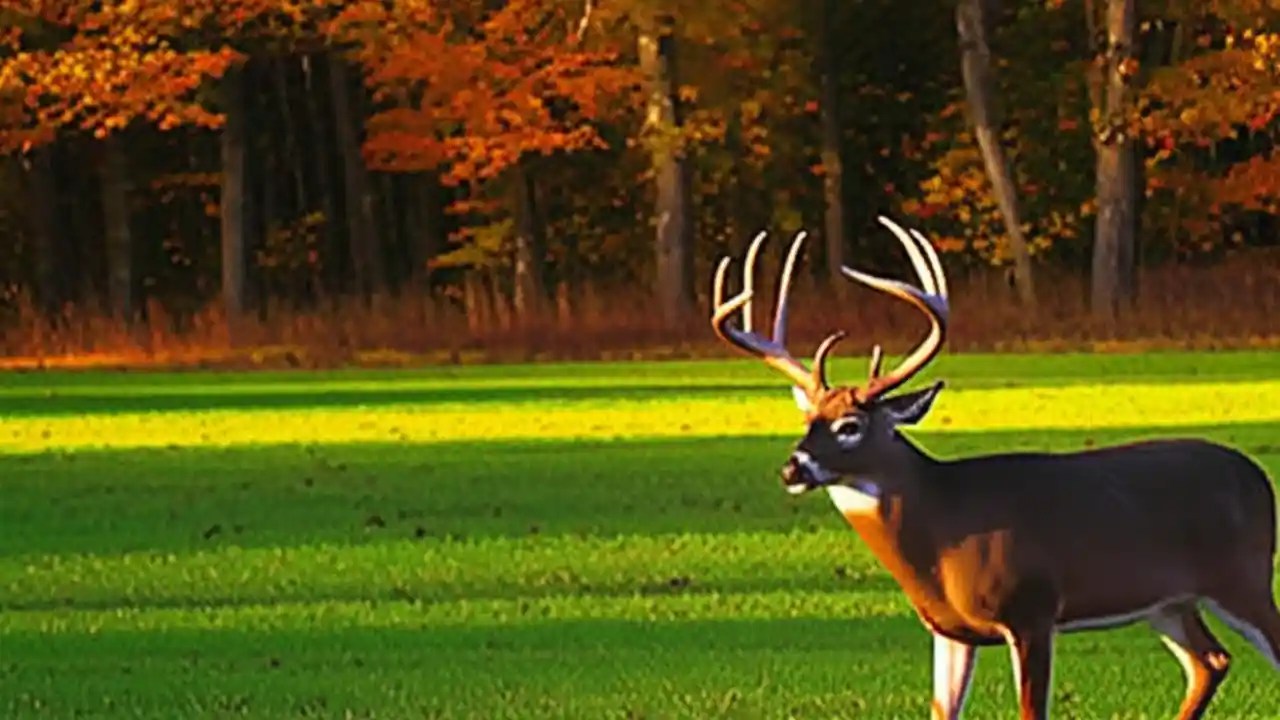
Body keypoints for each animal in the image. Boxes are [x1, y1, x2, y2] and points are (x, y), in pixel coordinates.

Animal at [709, 216, 1280, 720]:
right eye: (808, 419)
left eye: (850, 424)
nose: (793, 469)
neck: (942, 527)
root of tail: (1259, 479)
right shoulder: (948, 630)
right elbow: (943, 711)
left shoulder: (1032, 608)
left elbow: (1032, 711)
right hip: (1169, 600)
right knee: (1211, 661)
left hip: (1243, 574)